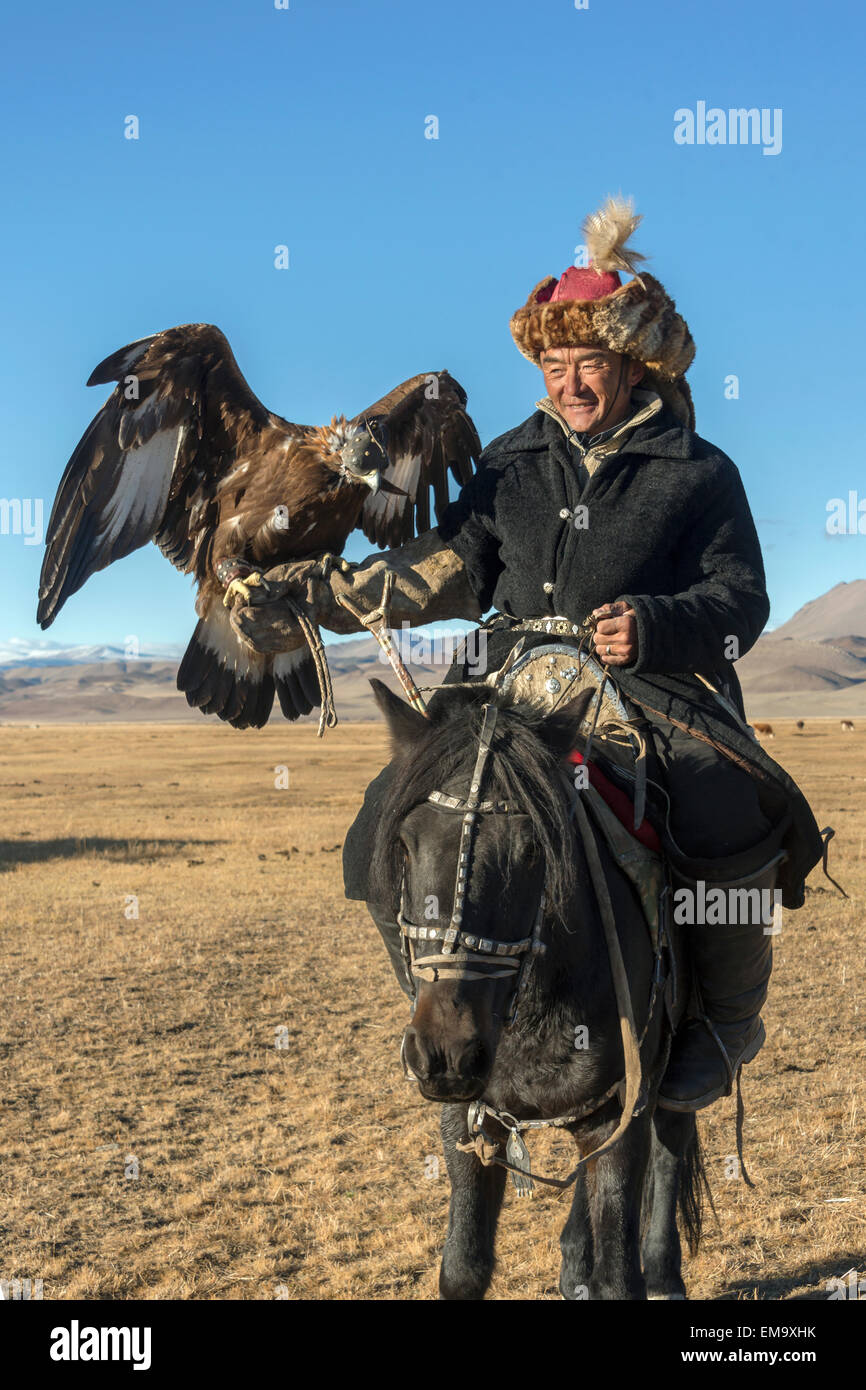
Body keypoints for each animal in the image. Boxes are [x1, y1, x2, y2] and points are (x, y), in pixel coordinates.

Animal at [367, 676, 710, 1301]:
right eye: (406, 843)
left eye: (533, 851)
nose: (446, 1054)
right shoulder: (469, 1121)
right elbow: (463, 1269)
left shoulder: (623, 1109)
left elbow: (618, 1275)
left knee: (671, 1141)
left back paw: (664, 1273)